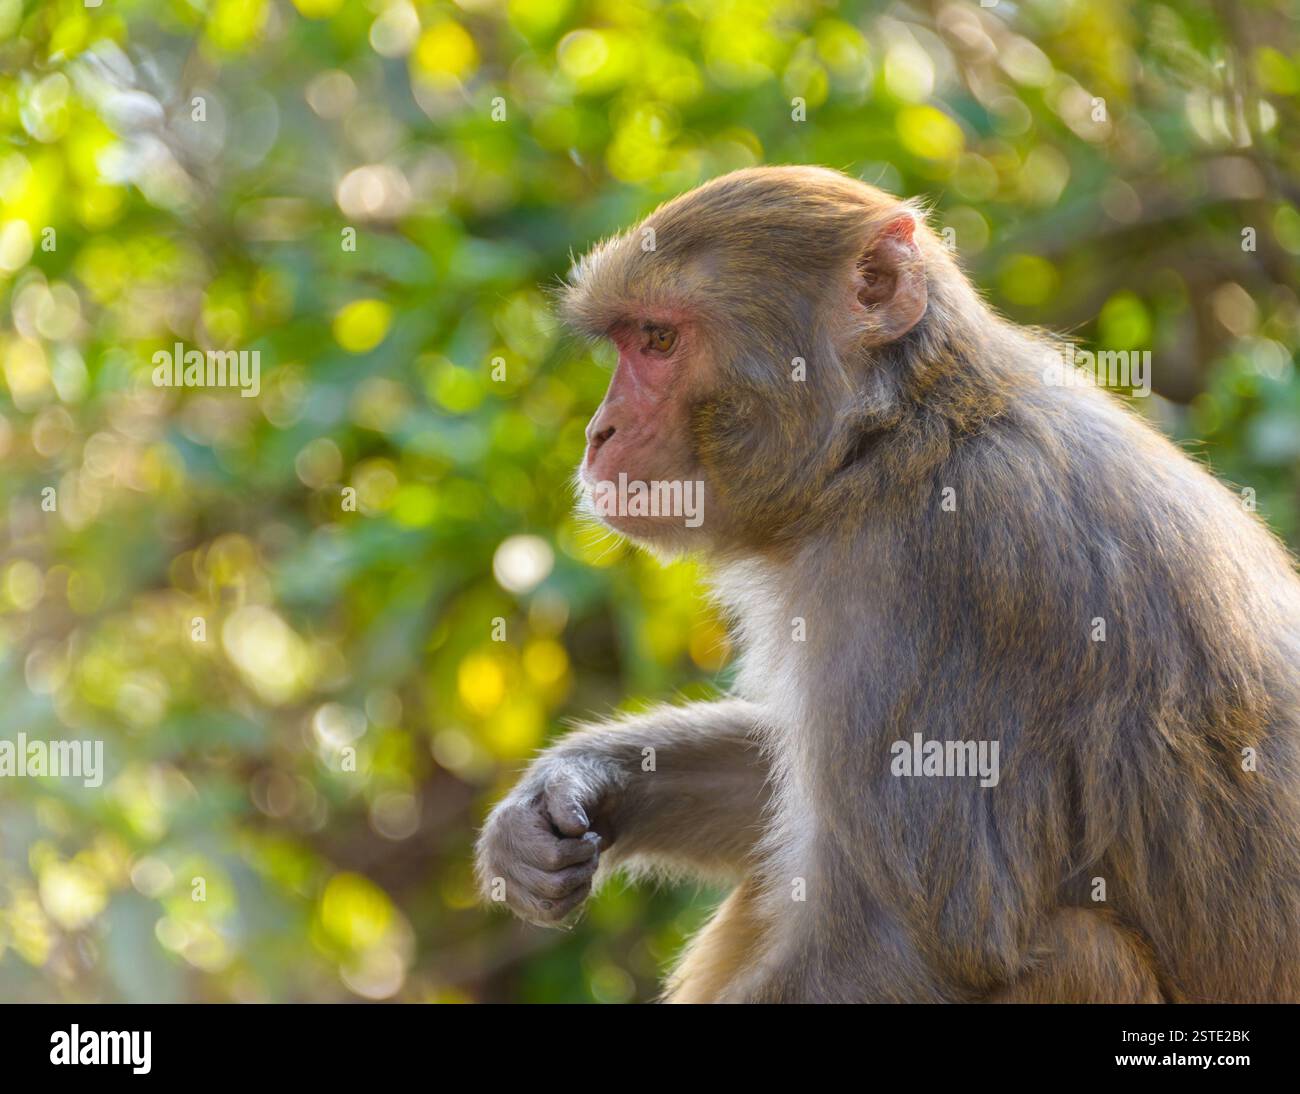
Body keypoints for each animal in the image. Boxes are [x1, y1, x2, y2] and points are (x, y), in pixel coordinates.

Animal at [474, 165, 1300, 1003]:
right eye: (627, 341)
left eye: (660, 340)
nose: (597, 434)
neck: (897, 444)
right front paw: (562, 794)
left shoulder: (954, 566)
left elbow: (921, 943)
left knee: (1080, 948)